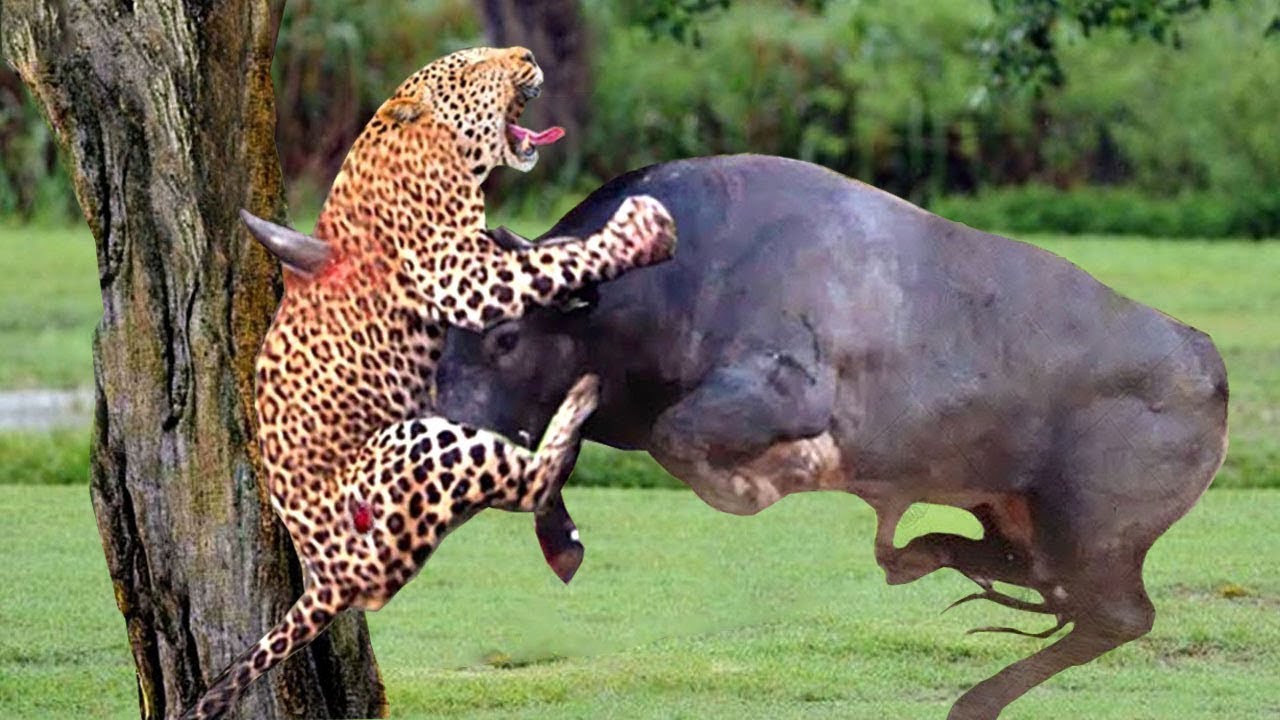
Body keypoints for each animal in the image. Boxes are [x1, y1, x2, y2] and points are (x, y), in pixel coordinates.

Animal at [183, 46, 676, 719]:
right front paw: (641, 231)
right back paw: (577, 413)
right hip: (409, 446)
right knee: (525, 479)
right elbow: (553, 259)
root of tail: (325, 579)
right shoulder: (456, 269)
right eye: (473, 68)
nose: (525, 55)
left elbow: (540, 258)